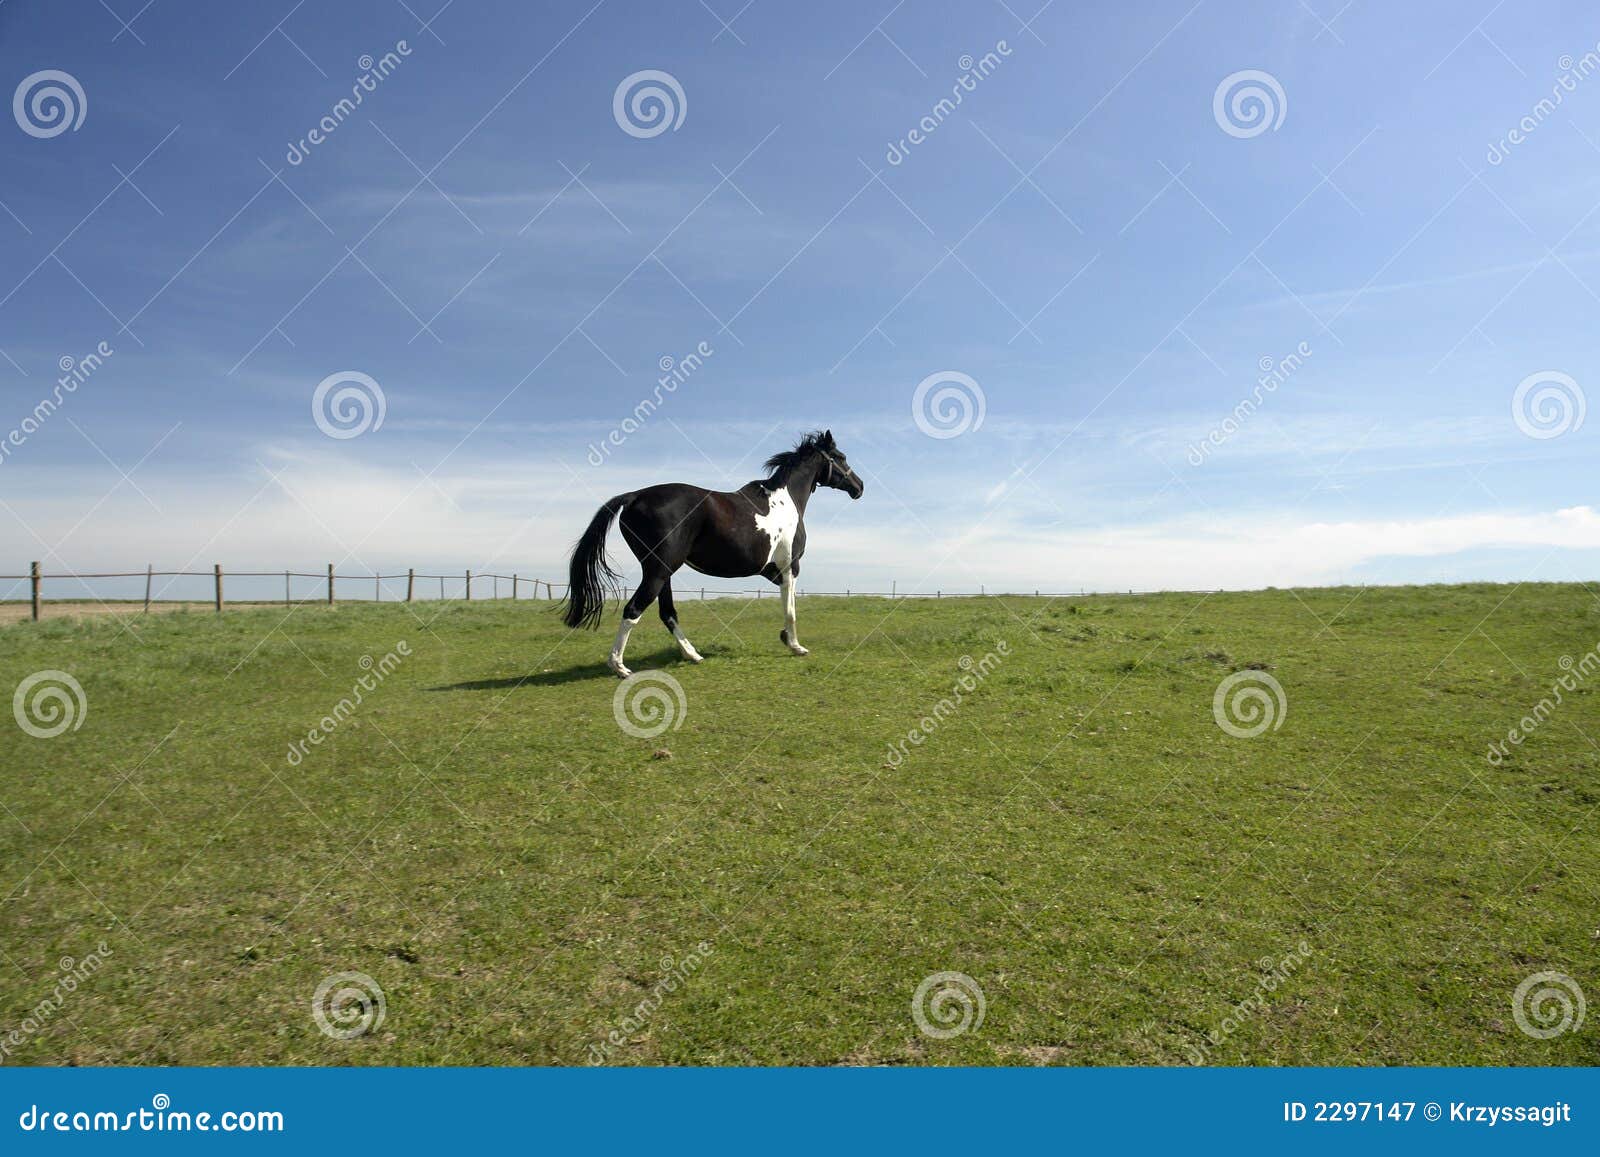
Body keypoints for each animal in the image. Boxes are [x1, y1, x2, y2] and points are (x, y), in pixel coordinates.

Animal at [561, 430, 864, 677]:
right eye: (840, 457)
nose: (859, 487)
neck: (785, 501)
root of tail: (635, 496)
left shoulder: (773, 571)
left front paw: (784, 637)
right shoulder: (790, 565)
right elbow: (790, 609)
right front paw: (795, 646)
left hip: (662, 571)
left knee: (667, 613)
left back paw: (692, 655)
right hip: (658, 572)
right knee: (634, 609)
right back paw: (620, 667)